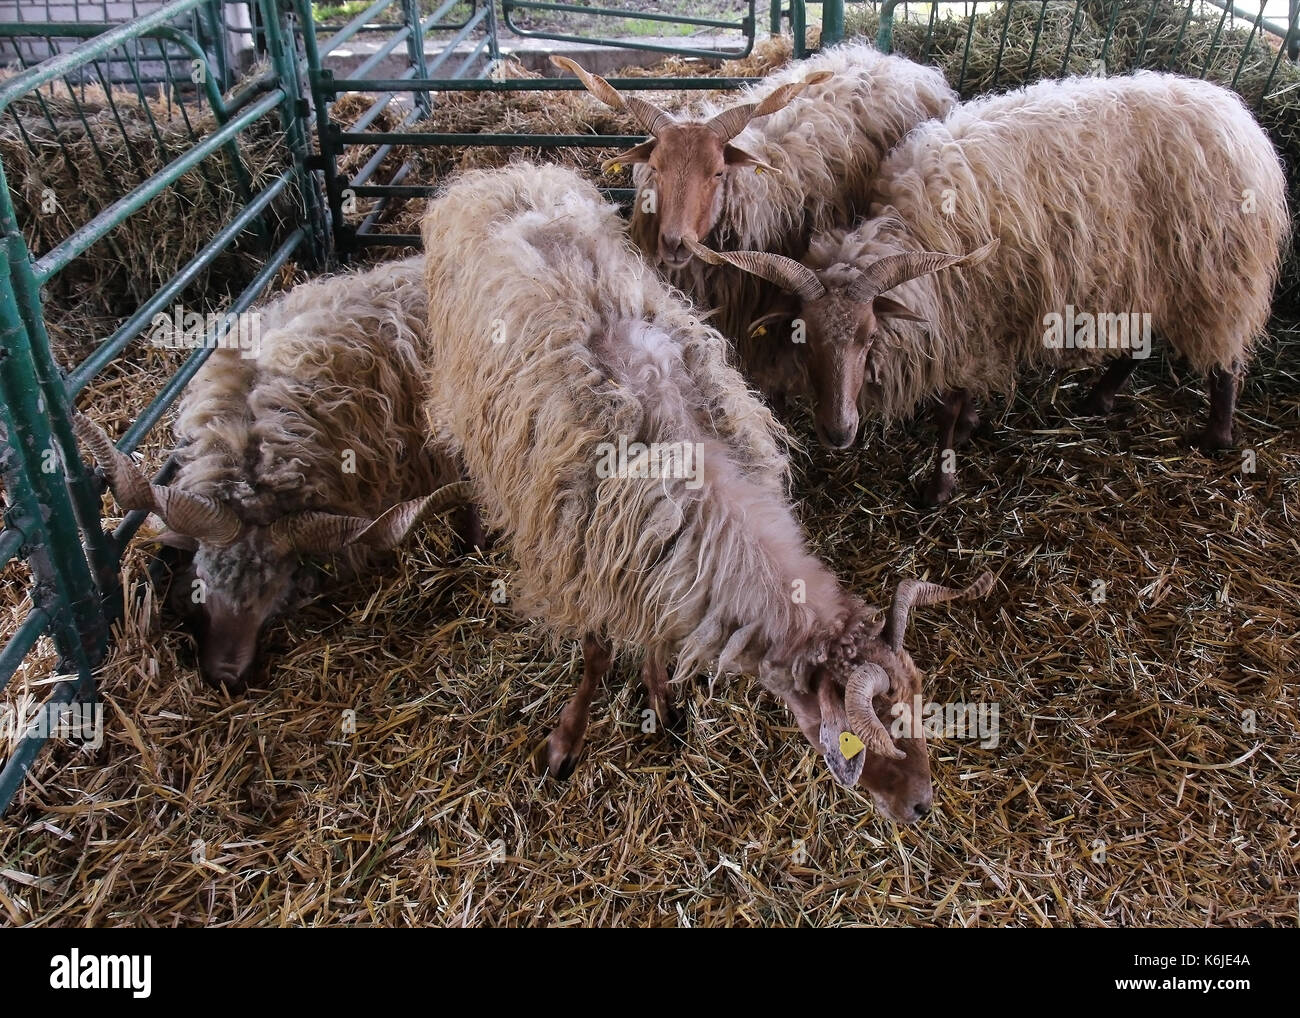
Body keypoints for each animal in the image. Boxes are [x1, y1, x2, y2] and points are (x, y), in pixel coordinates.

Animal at [421, 163, 987, 821]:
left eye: (918, 701)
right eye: (859, 732)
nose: (923, 805)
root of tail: (493, 174)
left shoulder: (652, 563)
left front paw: (662, 702)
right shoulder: (582, 555)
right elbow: (595, 653)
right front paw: (567, 740)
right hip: (459, 383)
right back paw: (472, 529)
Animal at [691, 71, 1289, 504]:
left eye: (868, 339)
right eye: (803, 340)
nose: (838, 433)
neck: (919, 228)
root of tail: (1240, 120)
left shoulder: (976, 314)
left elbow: (950, 406)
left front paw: (941, 481)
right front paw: (972, 427)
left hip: (1215, 271)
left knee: (1226, 358)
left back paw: (1217, 435)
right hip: (1149, 275)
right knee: (1139, 342)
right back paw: (1100, 396)